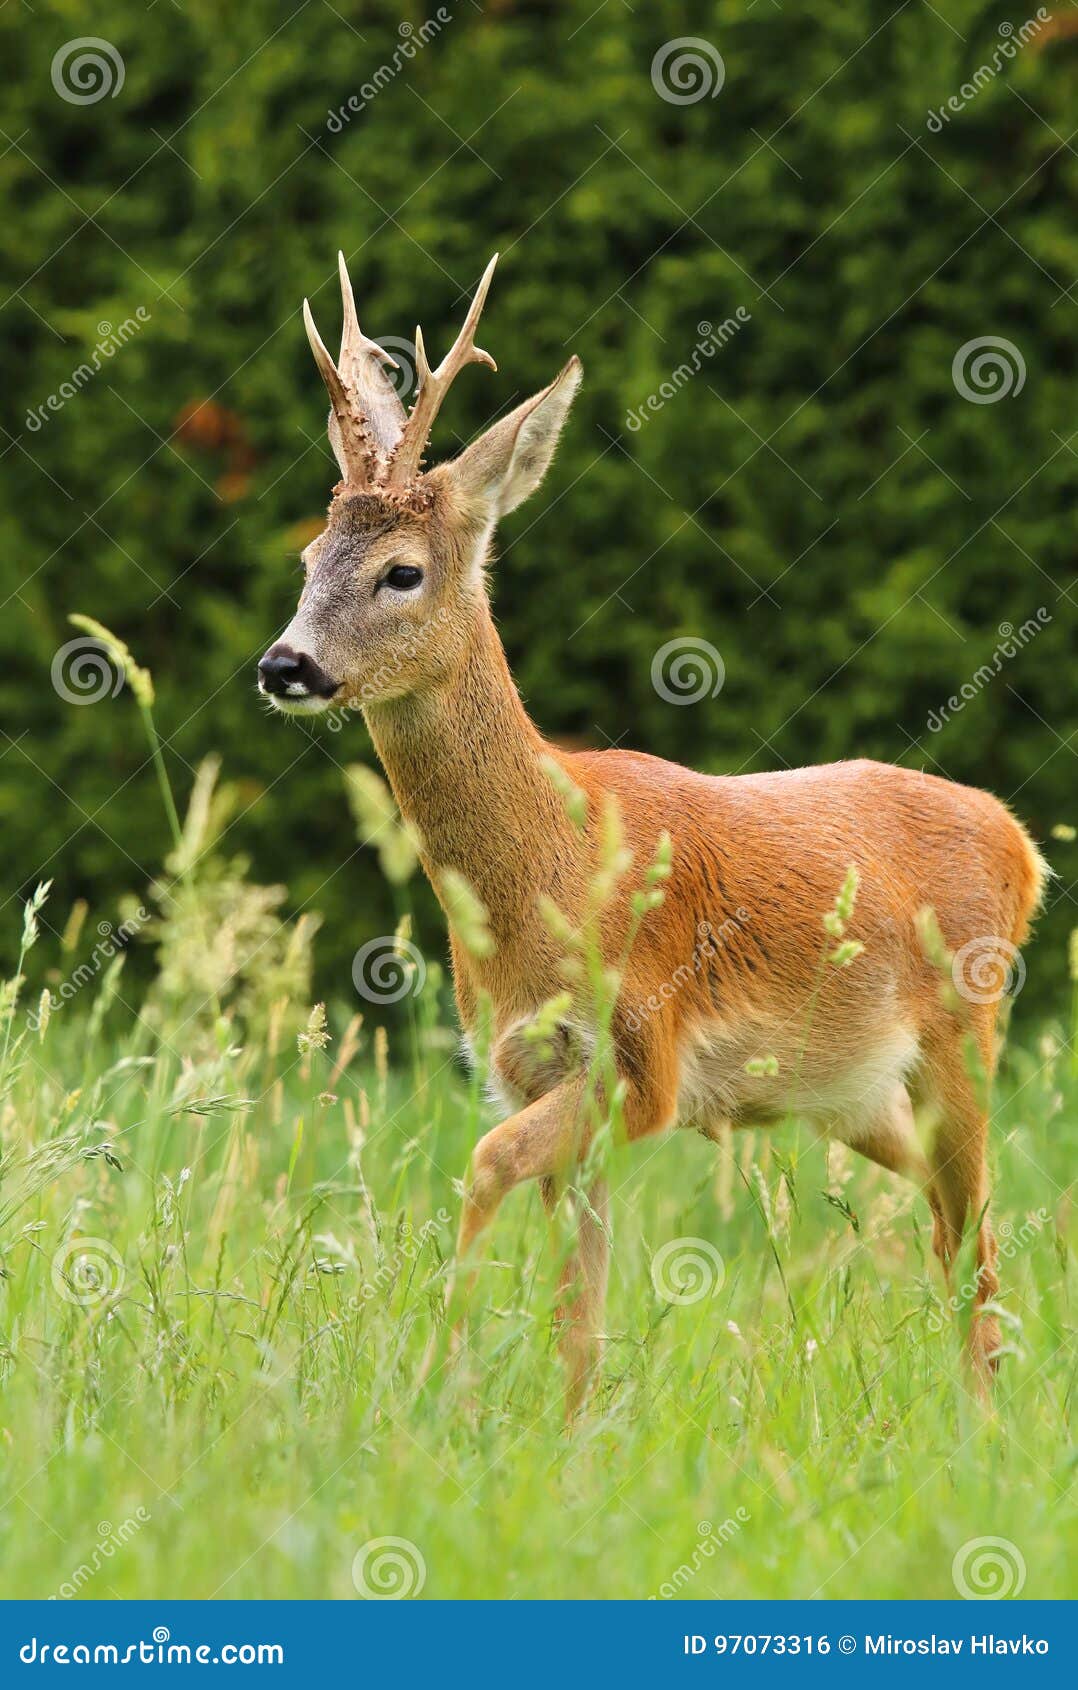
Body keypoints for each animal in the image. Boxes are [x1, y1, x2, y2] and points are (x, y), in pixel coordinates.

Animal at [258, 251, 1047, 1409]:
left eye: (400, 569)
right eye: (310, 555)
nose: (286, 665)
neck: (555, 861)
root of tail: (1021, 842)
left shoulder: (647, 1061)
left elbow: (484, 1165)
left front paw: (440, 1370)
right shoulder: (534, 1068)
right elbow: (577, 1313)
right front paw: (564, 1430)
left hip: (964, 1032)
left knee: (980, 1233)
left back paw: (981, 1420)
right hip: (856, 1094)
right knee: (957, 1228)